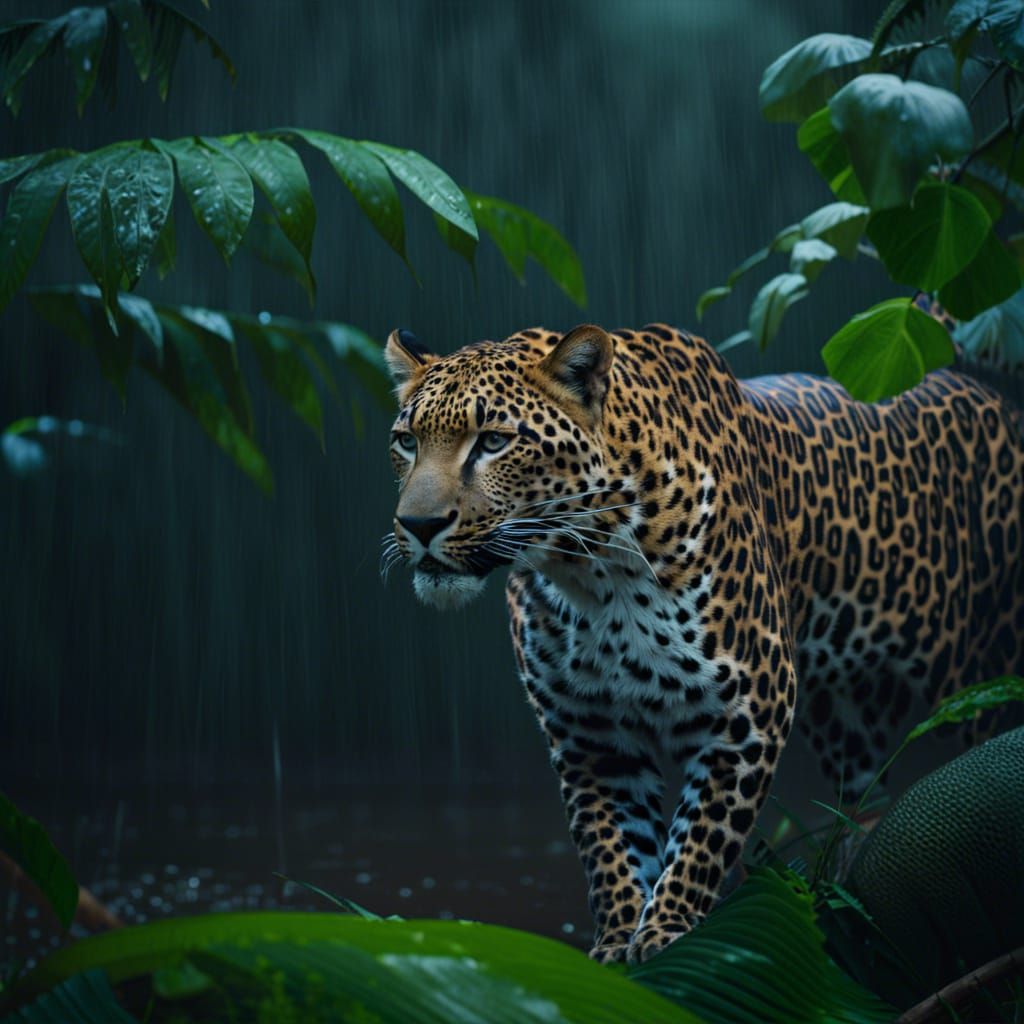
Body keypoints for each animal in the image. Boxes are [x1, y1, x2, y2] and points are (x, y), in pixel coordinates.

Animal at [381, 321, 1024, 964]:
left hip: (982, 678)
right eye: (407, 442)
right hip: (846, 711)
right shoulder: (590, 734)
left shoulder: (748, 713)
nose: (418, 525)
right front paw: (616, 940)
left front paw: (667, 931)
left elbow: (702, 836)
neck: (593, 572)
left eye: (493, 441)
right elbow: (608, 846)